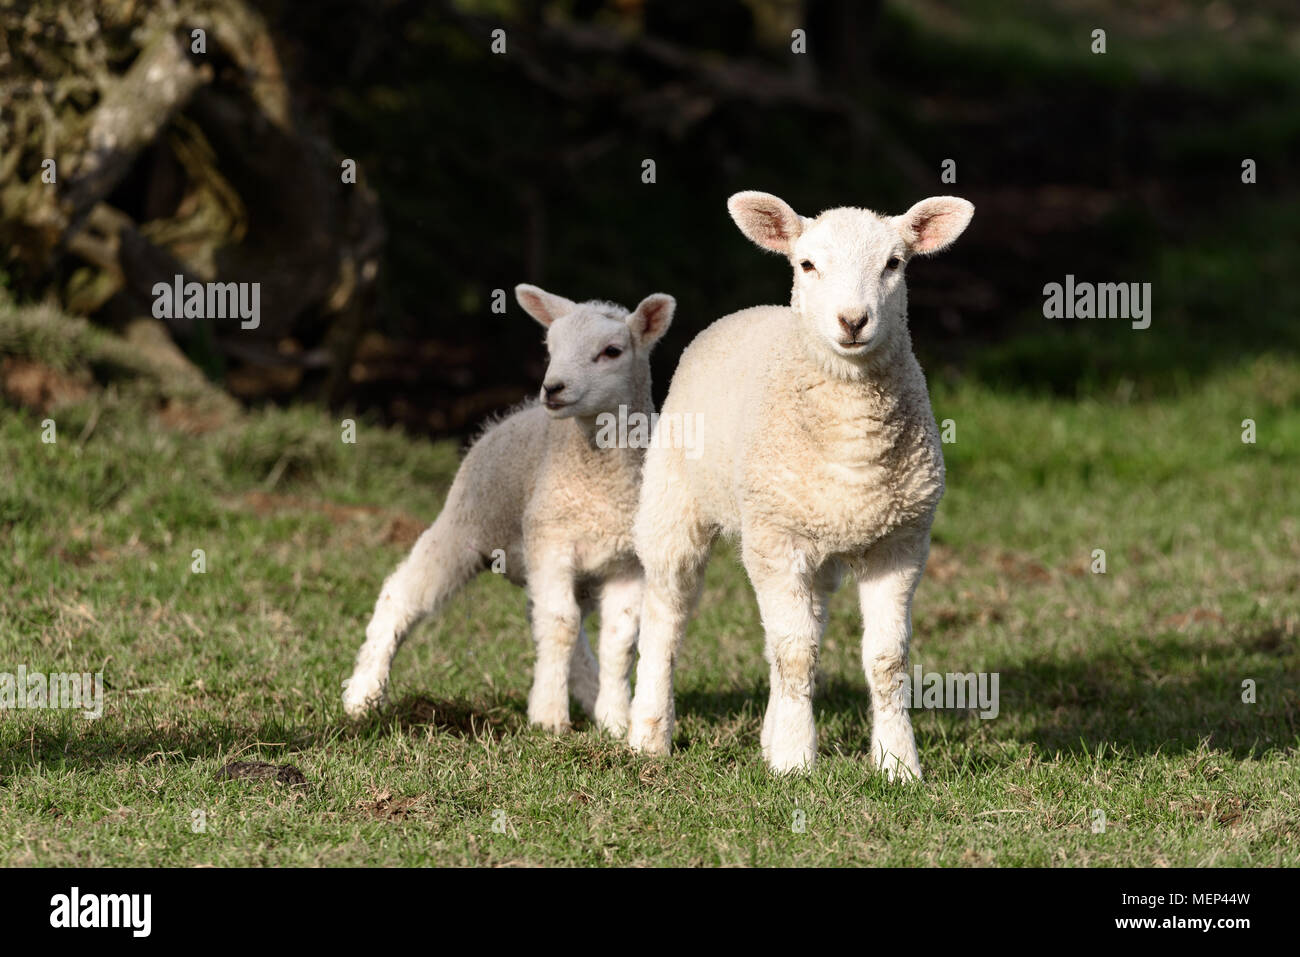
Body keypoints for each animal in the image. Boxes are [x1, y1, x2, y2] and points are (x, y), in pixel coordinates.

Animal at [342, 284, 675, 734]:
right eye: (551, 347)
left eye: (611, 351)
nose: (553, 388)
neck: (601, 485)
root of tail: (510, 415)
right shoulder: (551, 542)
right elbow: (560, 625)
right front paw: (550, 719)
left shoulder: (627, 562)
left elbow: (618, 641)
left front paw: (615, 721)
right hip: (465, 524)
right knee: (403, 593)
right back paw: (363, 696)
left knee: (561, 624)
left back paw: (588, 693)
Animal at [625, 191, 974, 780]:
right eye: (808, 265)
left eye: (894, 264)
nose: (853, 321)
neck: (852, 442)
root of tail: (751, 311)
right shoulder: (777, 539)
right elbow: (796, 654)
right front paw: (793, 762)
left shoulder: (900, 544)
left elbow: (885, 659)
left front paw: (898, 764)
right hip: (677, 504)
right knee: (664, 619)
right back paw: (649, 735)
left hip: (814, 545)